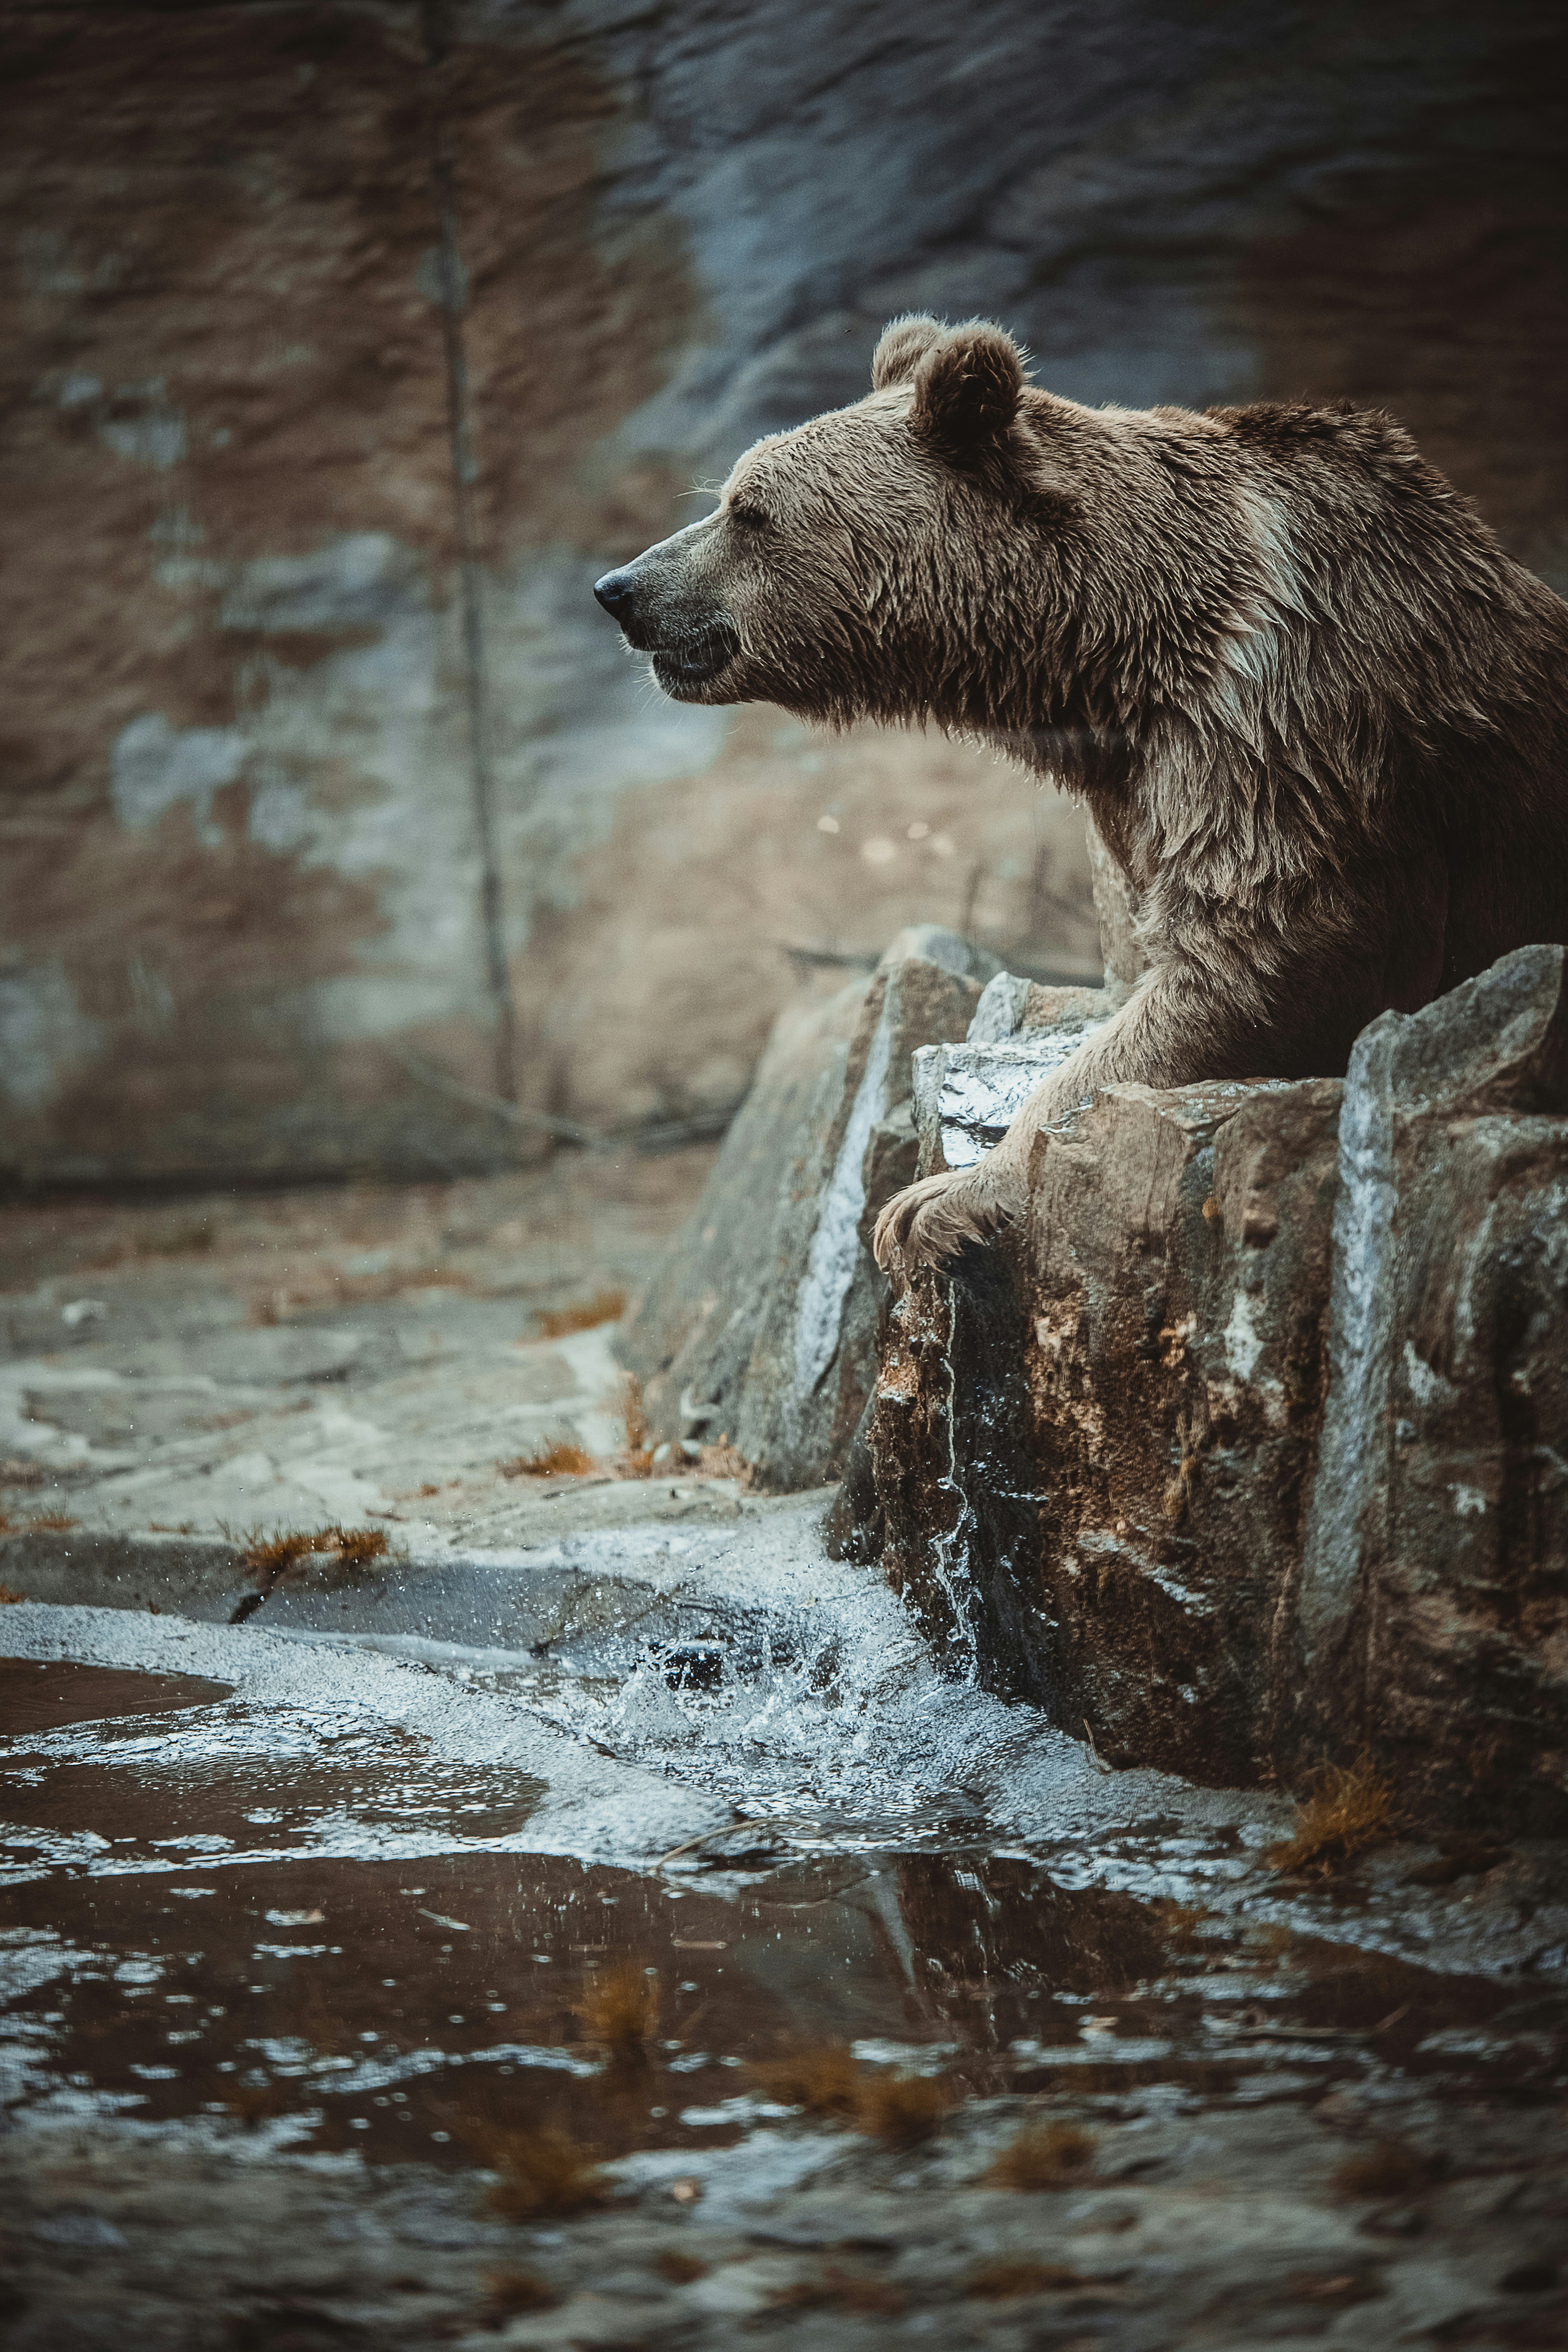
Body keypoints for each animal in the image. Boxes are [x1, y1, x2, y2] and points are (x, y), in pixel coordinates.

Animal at [593, 314, 1568, 1270]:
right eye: (727, 495)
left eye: (750, 511)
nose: (620, 588)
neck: (1112, 658)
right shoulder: (1134, 802)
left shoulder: (1277, 727)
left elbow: (1259, 956)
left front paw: (935, 1201)